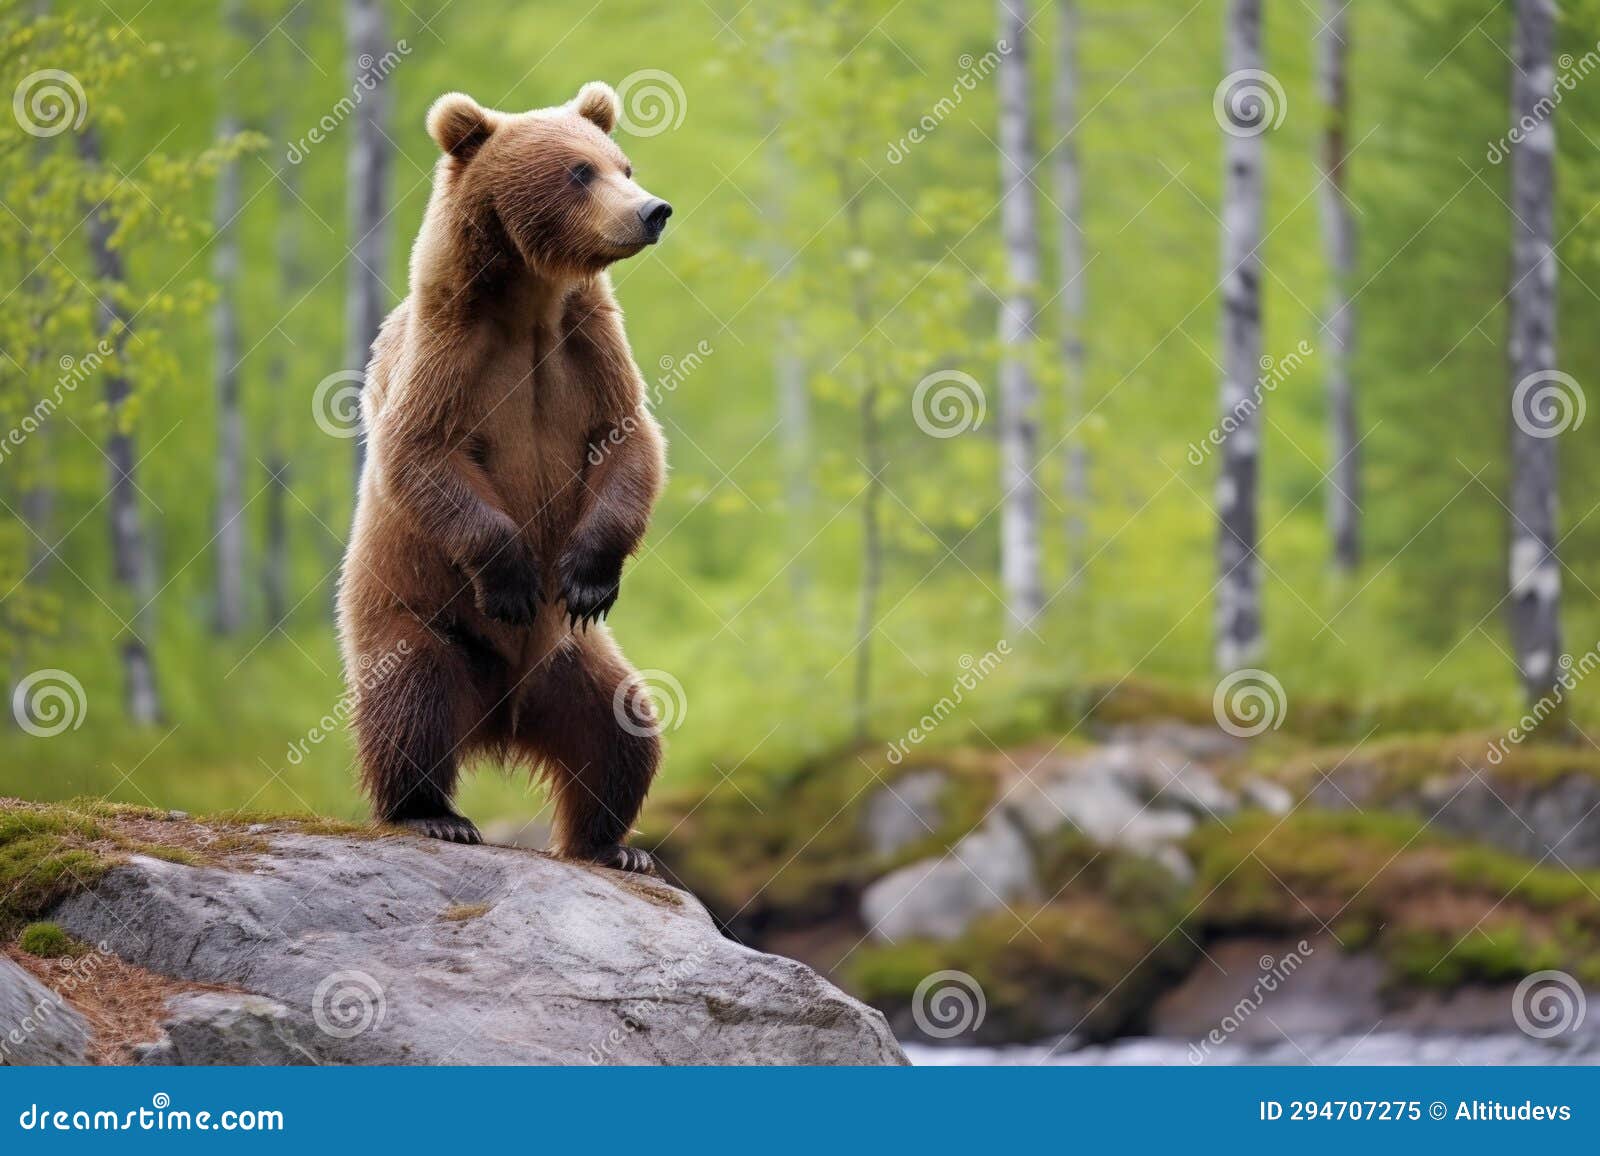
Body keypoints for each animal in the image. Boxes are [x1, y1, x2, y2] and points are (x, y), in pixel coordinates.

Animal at [335, 82, 673, 872]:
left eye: (624, 163)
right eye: (580, 172)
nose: (652, 210)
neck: (529, 306)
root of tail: (501, 718)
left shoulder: (589, 345)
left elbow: (630, 446)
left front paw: (587, 576)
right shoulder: (448, 352)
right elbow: (423, 454)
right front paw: (514, 578)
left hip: (575, 664)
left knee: (624, 732)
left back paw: (614, 845)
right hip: (417, 616)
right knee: (413, 699)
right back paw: (432, 813)